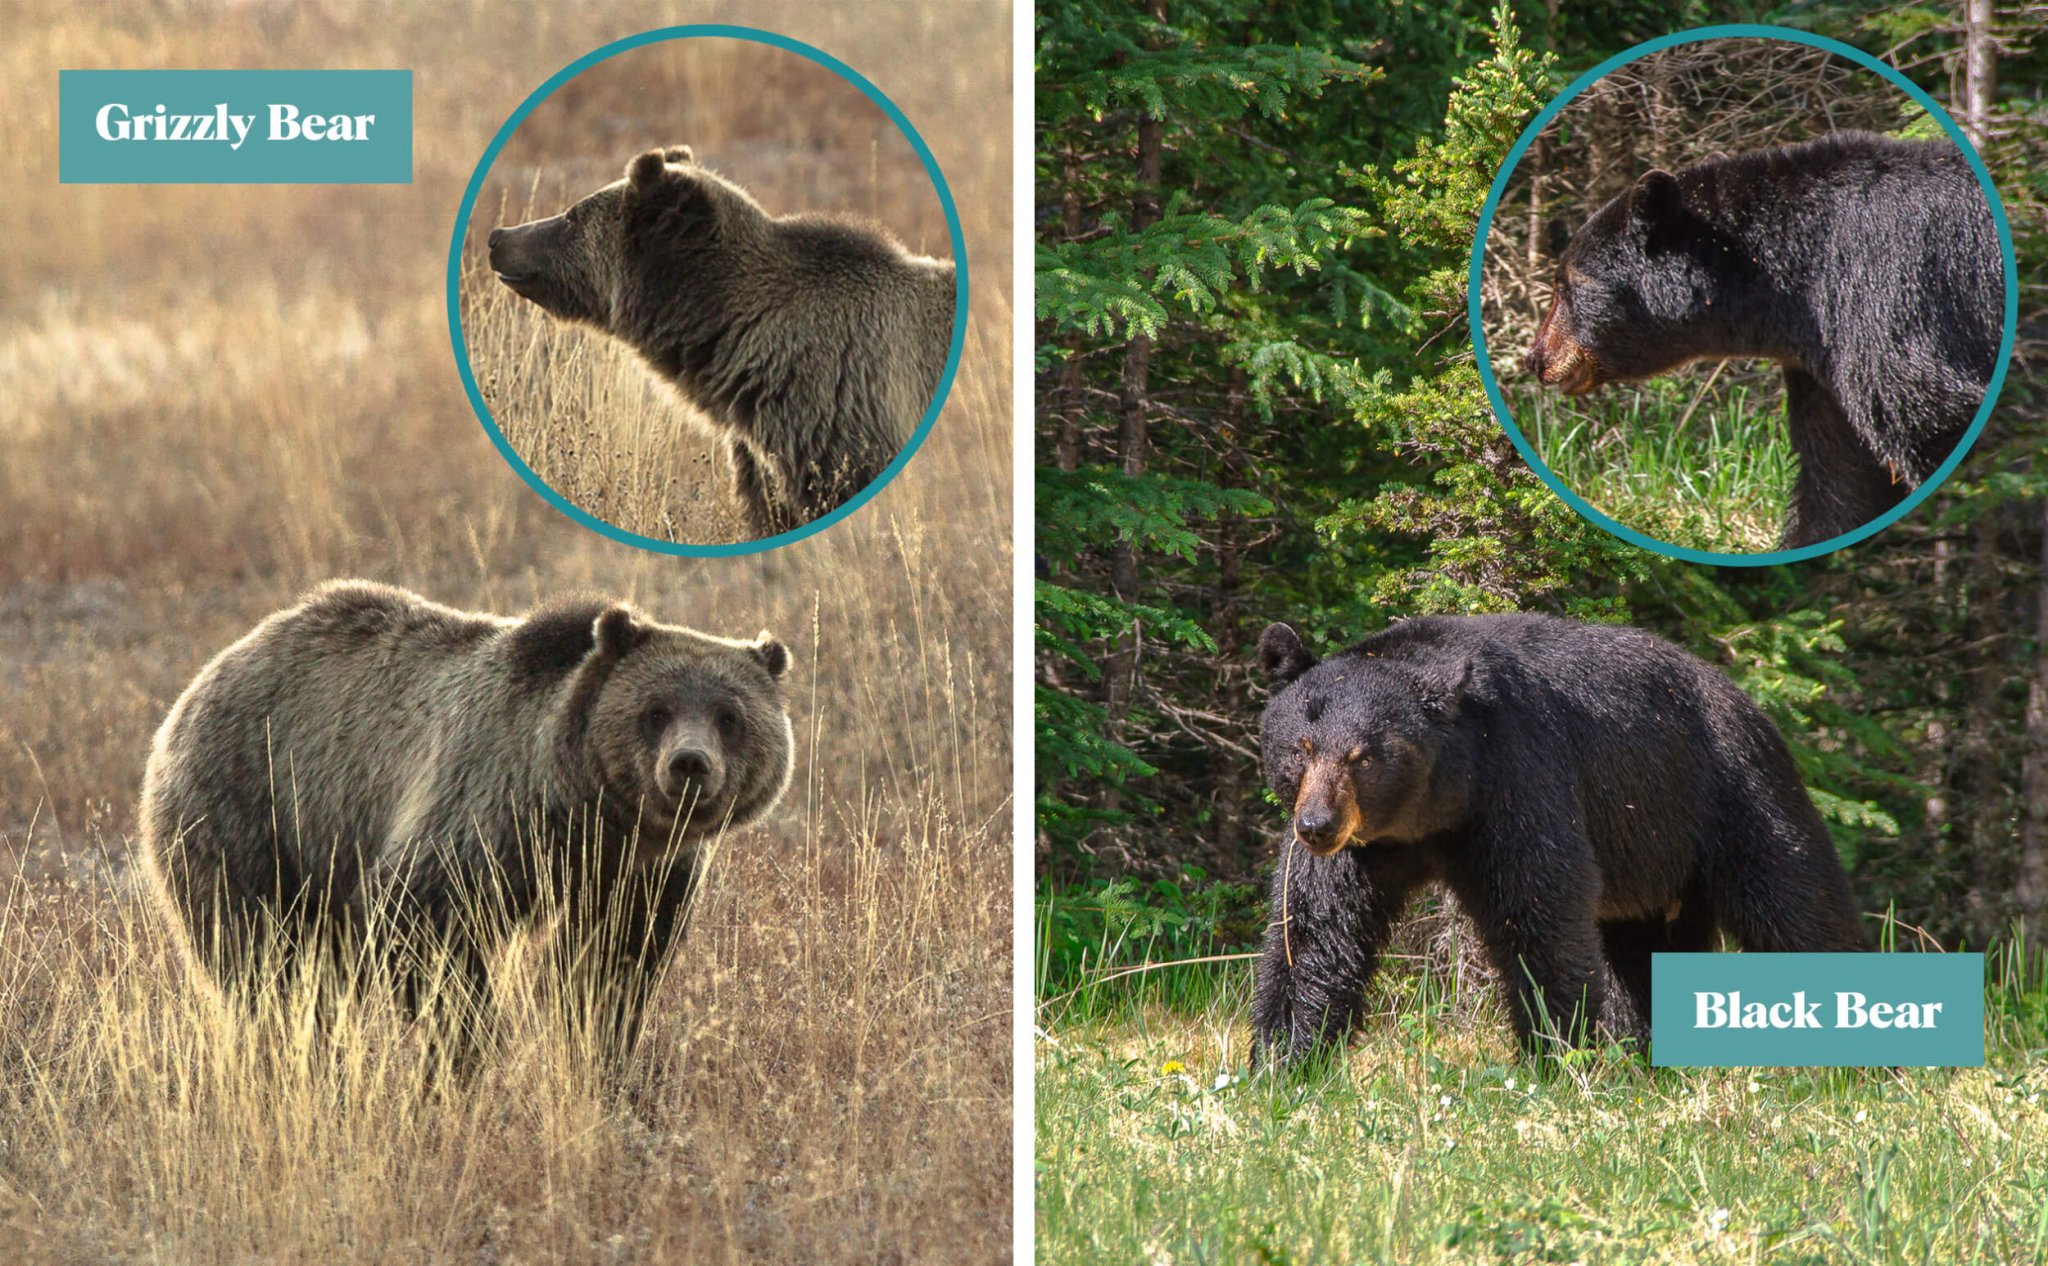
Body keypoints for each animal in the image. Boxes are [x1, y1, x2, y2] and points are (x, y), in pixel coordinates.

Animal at [138, 579, 794, 1066]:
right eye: (656, 710)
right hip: (251, 807)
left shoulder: (640, 872)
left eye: (729, 716)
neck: (592, 812)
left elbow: (613, 961)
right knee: (265, 961)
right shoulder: (487, 809)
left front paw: (595, 1041)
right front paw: (472, 1046)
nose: (689, 764)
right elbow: (419, 921)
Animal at [1249, 613, 1868, 1067]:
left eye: (1364, 756)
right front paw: (1284, 1059)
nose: (1317, 825)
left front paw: (1556, 1054)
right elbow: (1314, 927)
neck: (1436, 806)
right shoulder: (1363, 848)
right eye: (1300, 748)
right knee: (1646, 953)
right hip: (1647, 859)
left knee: (1795, 904)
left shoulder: (1519, 774)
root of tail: (1750, 704)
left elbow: (1537, 910)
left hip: (1730, 793)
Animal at [1523, 131, 2001, 548]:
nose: (1536, 357)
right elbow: (1842, 478)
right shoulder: (1823, 368)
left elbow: (1927, 410)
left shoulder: (1887, 298)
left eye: (1565, 284)